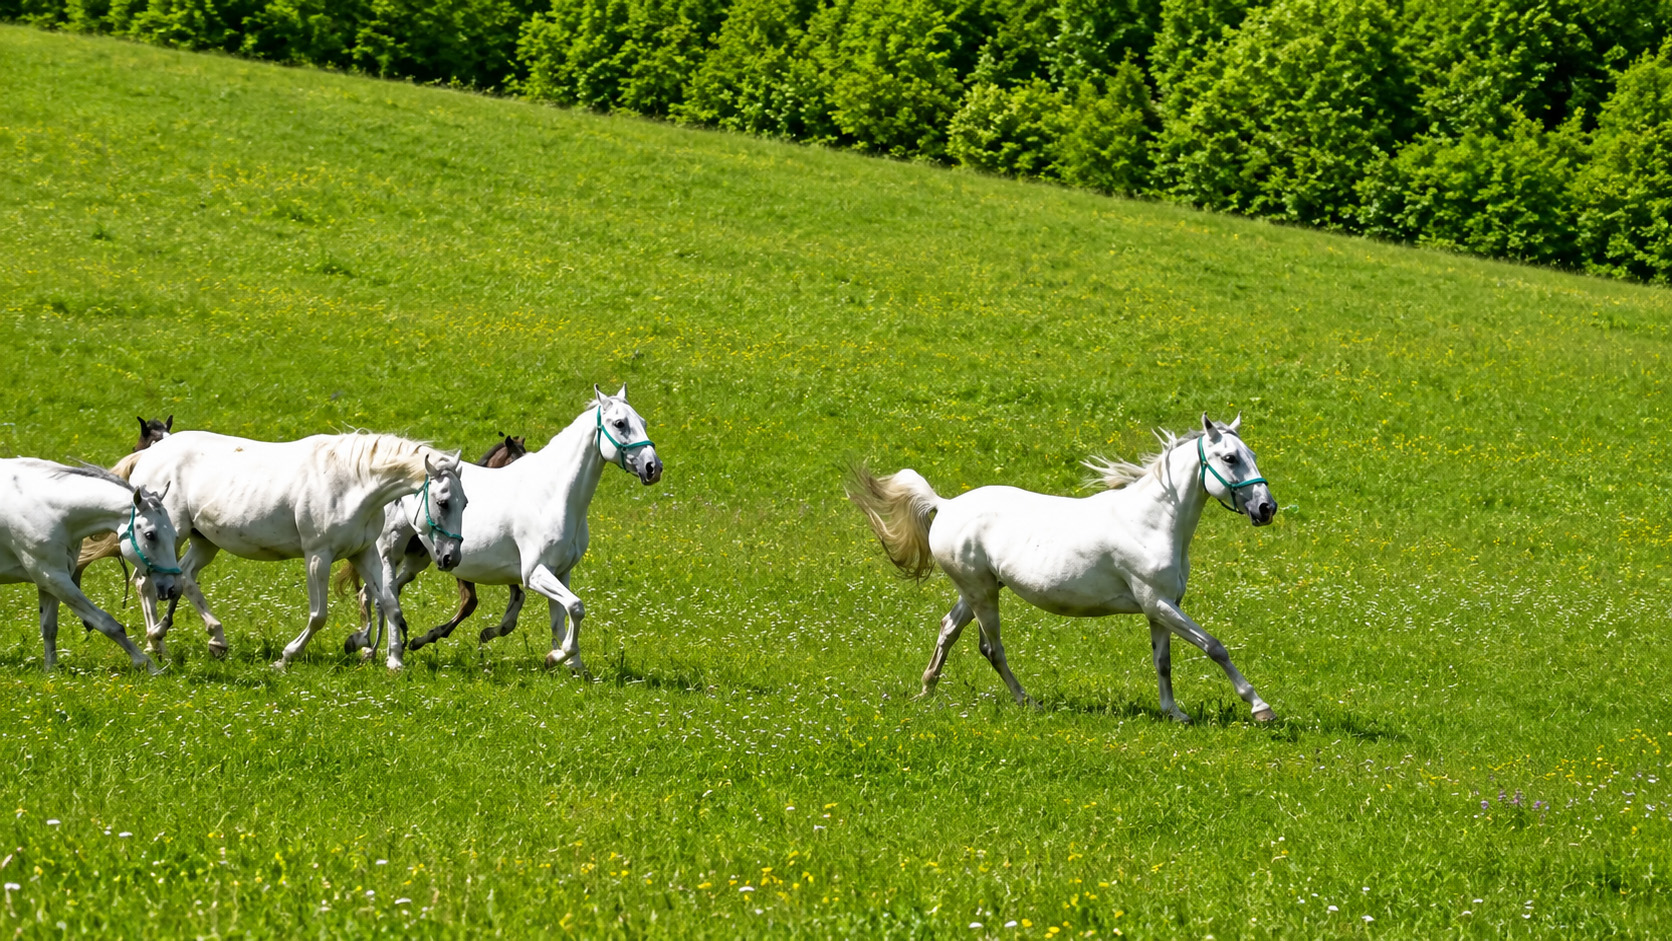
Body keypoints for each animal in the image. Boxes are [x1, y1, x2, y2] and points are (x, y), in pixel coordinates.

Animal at [0, 459, 182, 673]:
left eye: (174, 535)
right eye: (150, 535)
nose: (171, 588)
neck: (44, 508)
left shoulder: (49, 581)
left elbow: (49, 628)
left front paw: (51, 671)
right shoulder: (53, 577)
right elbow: (107, 623)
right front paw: (147, 665)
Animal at [110, 430, 466, 670]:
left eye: (465, 502)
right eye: (443, 502)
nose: (451, 557)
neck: (352, 483)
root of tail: (147, 456)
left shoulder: (364, 553)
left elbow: (391, 604)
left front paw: (394, 661)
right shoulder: (318, 556)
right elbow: (319, 615)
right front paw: (286, 657)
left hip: (204, 541)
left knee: (183, 577)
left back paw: (210, 639)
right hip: (167, 537)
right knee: (146, 583)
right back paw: (157, 644)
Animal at [350, 386, 661, 672]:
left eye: (643, 422)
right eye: (619, 424)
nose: (653, 467)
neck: (553, 494)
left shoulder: (561, 572)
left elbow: (560, 620)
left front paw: (573, 667)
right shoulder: (534, 573)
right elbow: (575, 607)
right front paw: (557, 657)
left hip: (420, 559)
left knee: (375, 594)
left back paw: (368, 649)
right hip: (390, 554)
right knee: (388, 598)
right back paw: (391, 656)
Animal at [846, 414, 1279, 724]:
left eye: (1252, 455)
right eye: (1230, 458)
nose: (1266, 508)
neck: (1152, 521)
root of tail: (946, 504)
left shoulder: (1161, 607)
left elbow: (1163, 662)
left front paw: (1173, 713)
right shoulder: (1157, 602)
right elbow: (1214, 646)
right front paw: (1260, 708)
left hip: (979, 590)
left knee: (948, 630)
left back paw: (927, 690)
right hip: (981, 594)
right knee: (991, 648)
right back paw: (1028, 702)